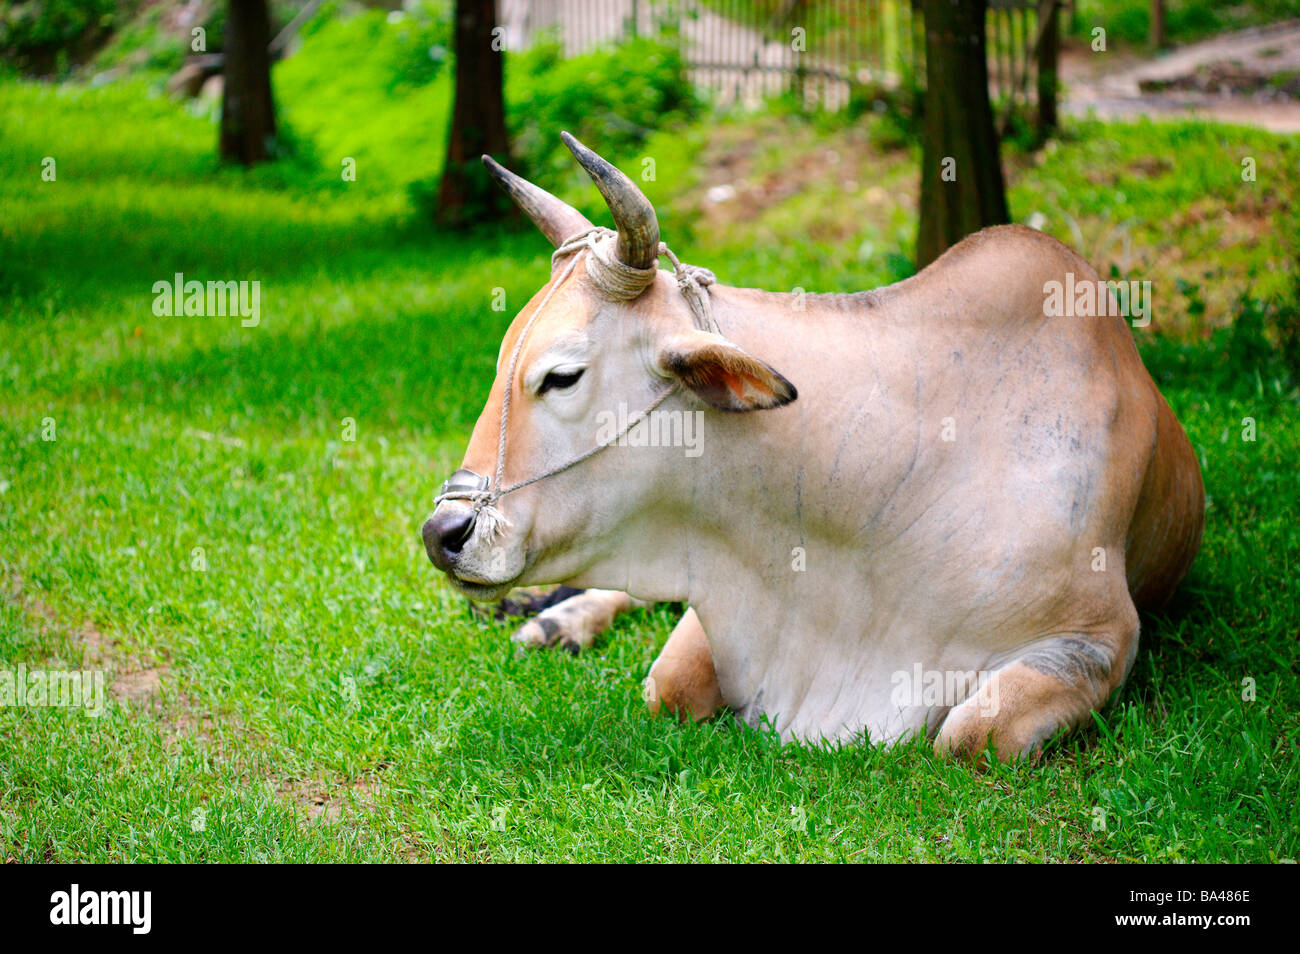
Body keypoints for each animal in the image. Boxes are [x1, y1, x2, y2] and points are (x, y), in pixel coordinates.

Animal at [422, 132, 1204, 761]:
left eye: (562, 376)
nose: (443, 532)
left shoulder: (1096, 637)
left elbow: (970, 737)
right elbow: (669, 685)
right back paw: (555, 619)